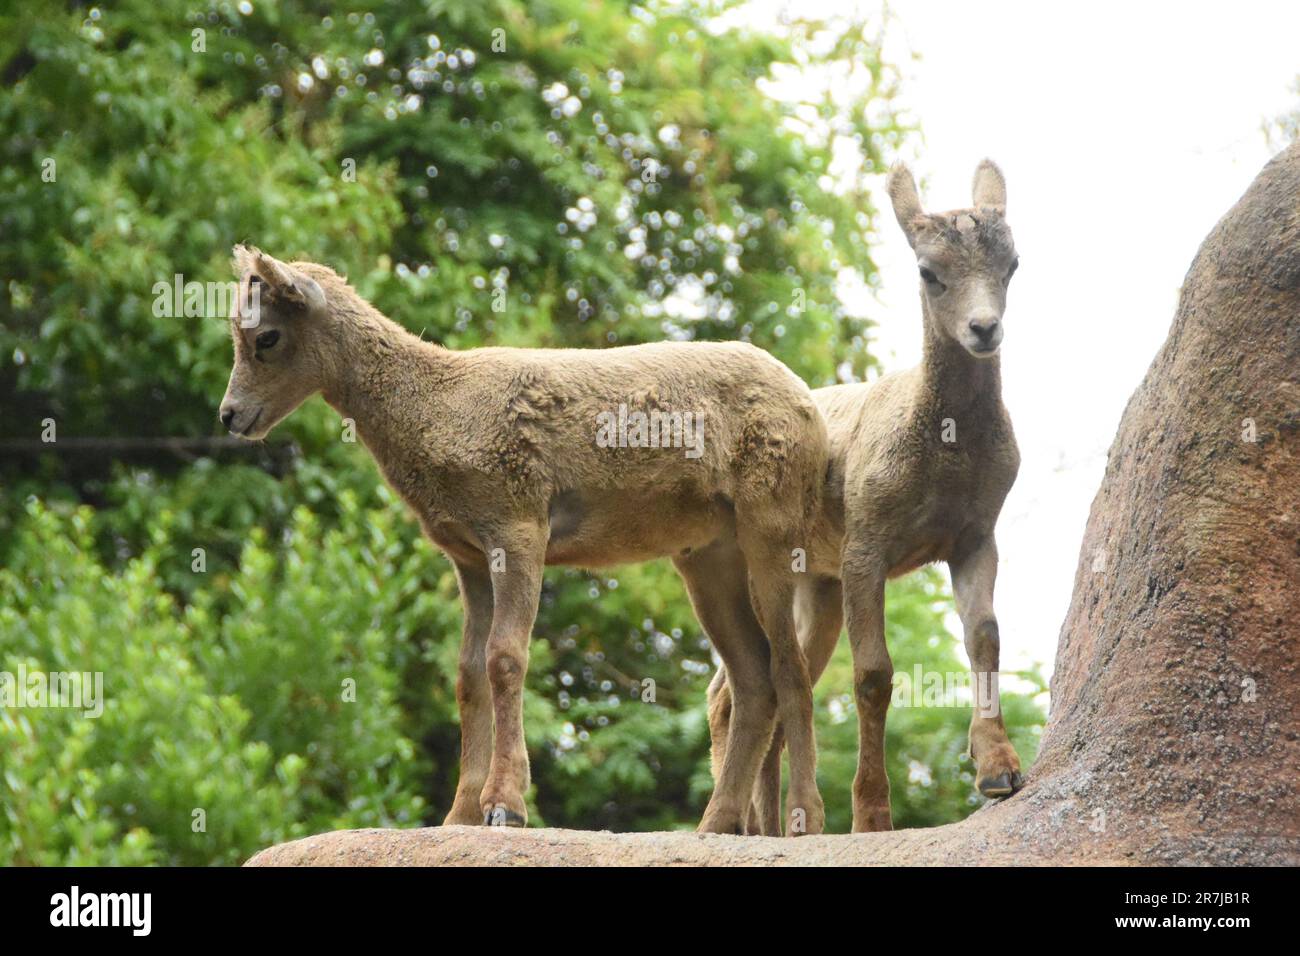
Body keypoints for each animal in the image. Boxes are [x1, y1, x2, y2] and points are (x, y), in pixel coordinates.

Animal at [217, 245, 830, 835]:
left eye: (266, 336)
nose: (230, 415)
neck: (435, 407)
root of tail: (811, 413)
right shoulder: (466, 554)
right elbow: (467, 675)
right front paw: (458, 814)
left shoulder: (518, 527)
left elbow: (505, 657)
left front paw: (504, 807)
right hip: (707, 555)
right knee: (752, 679)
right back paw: (716, 823)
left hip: (771, 527)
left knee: (789, 668)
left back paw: (804, 819)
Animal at [709, 160, 1025, 833]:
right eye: (928, 271)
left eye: (1012, 263)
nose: (984, 328)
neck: (945, 452)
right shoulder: (867, 545)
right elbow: (874, 675)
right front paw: (872, 815)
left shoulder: (974, 536)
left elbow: (984, 635)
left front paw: (998, 771)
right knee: (731, 690)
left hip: (817, 590)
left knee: (781, 684)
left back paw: (774, 828)